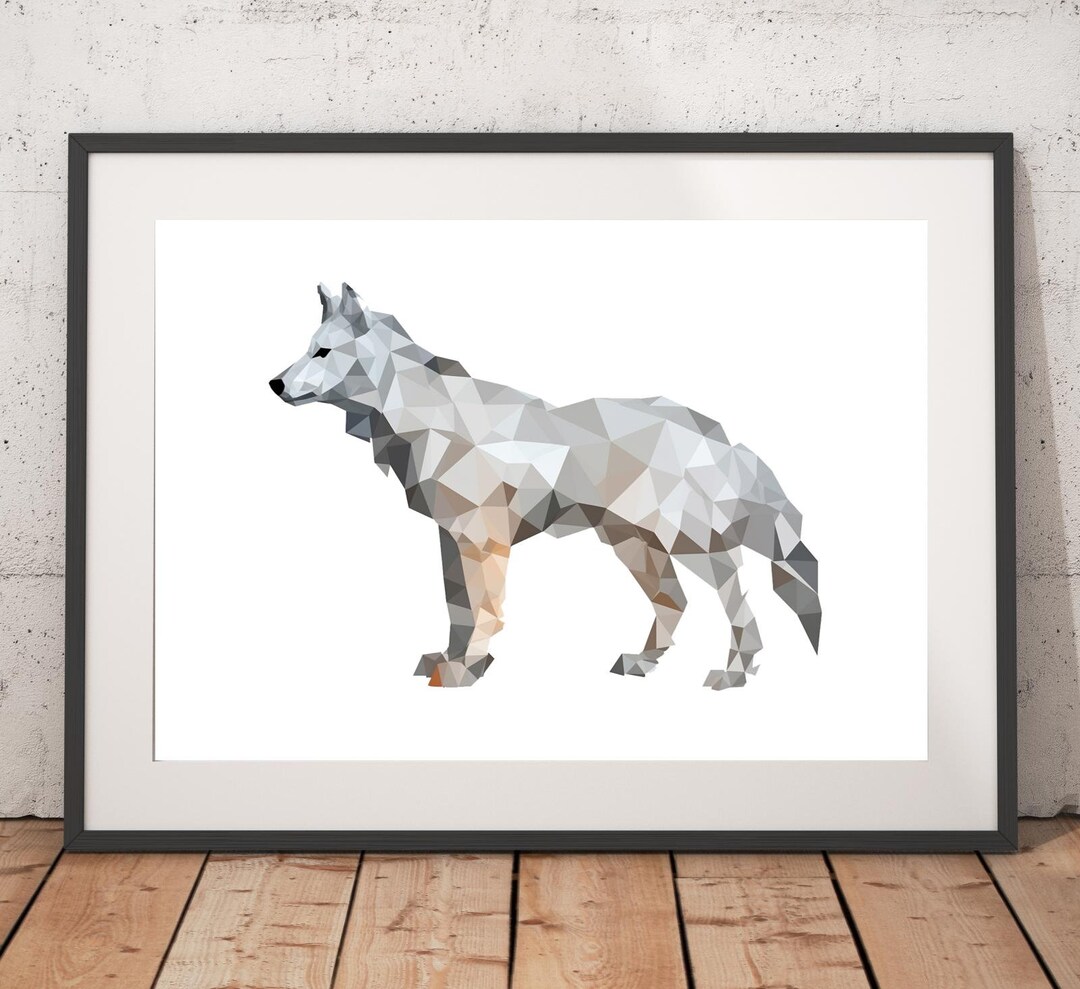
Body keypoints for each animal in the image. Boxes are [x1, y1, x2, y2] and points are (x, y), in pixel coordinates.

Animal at [270, 284, 821, 691]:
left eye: (322, 351)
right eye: (305, 349)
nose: (273, 384)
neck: (420, 416)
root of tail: (717, 432)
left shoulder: (482, 541)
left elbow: (484, 613)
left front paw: (467, 670)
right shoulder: (451, 539)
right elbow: (457, 612)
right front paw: (448, 659)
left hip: (693, 548)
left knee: (740, 604)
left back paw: (735, 674)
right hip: (635, 548)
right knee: (676, 603)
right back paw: (643, 663)